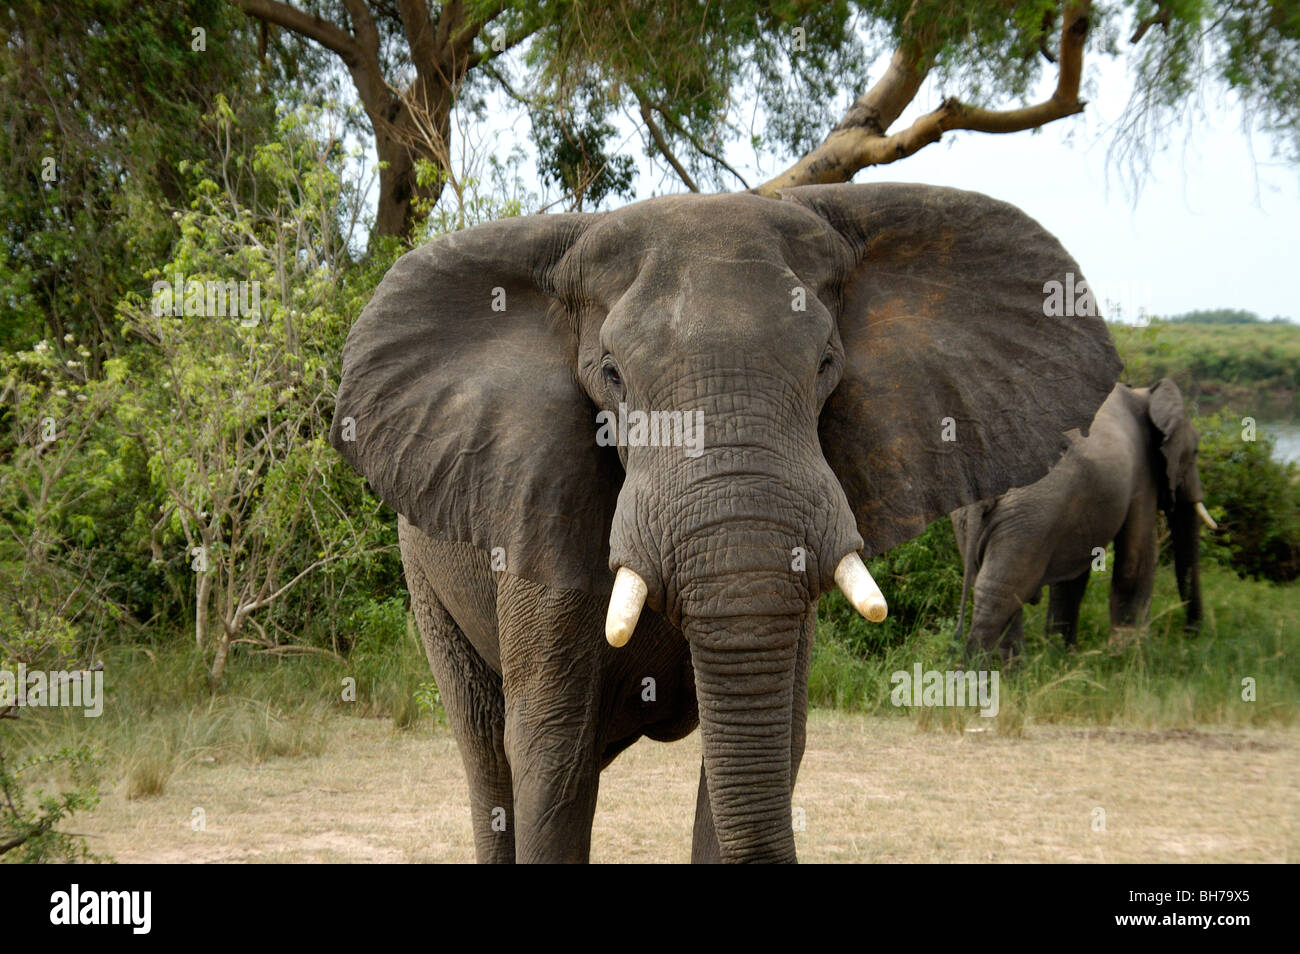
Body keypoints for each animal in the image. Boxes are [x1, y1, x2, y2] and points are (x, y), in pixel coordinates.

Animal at [329, 182, 1121, 863]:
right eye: (611, 375)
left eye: (828, 363)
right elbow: (551, 758)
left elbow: (764, 746)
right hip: (426, 580)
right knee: (488, 755)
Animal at [951, 379, 1218, 661]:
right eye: (1196, 451)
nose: (1190, 635)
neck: (1144, 393)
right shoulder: (1142, 473)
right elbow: (1135, 558)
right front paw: (1127, 657)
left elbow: (1073, 575)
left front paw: (1061, 655)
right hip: (1032, 512)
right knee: (1002, 589)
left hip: (980, 516)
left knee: (997, 586)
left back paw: (1015, 667)